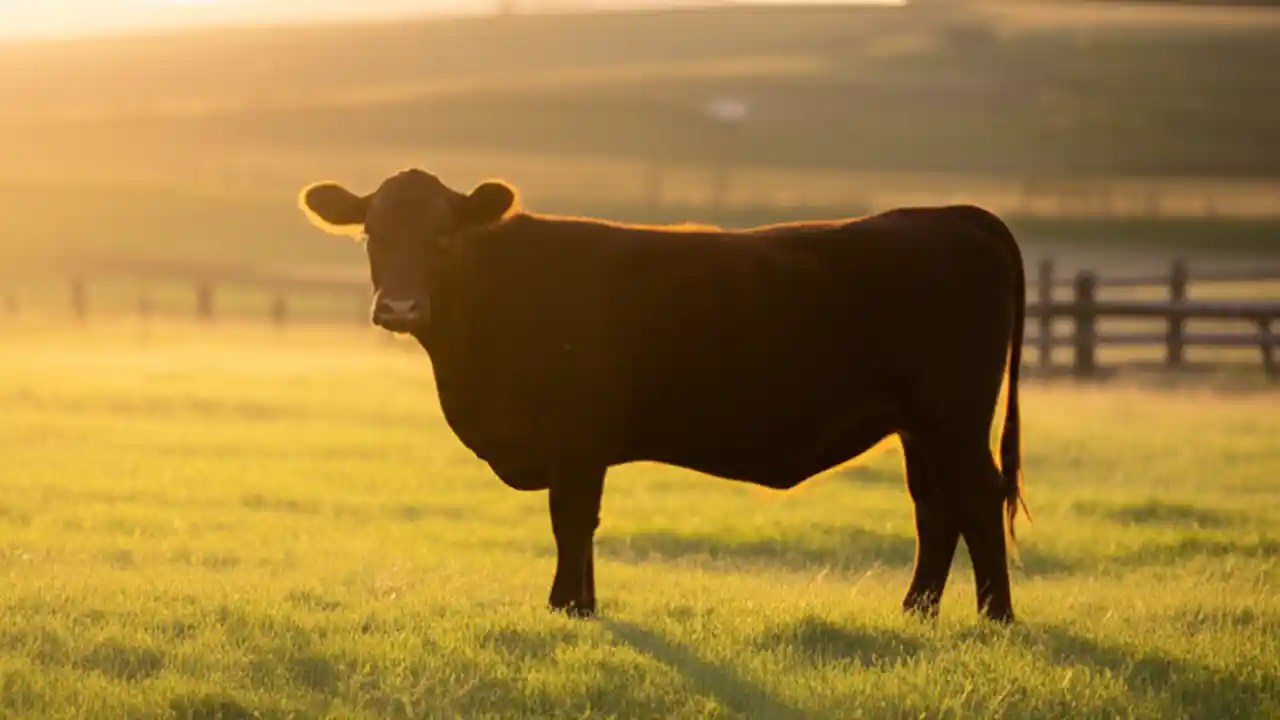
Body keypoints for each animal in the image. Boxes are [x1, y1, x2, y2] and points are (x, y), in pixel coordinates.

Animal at [298, 169, 1027, 622]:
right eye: (370, 234)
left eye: (443, 237)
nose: (398, 307)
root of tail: (954, 214)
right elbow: (583, 525)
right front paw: (583, 605)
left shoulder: (576, 439)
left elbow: (571, 520)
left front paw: (565, 606)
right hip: (919, 427)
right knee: (936, 509)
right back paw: (917, 613)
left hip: (952, 420)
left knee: (977, 500)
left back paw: (996, 618)